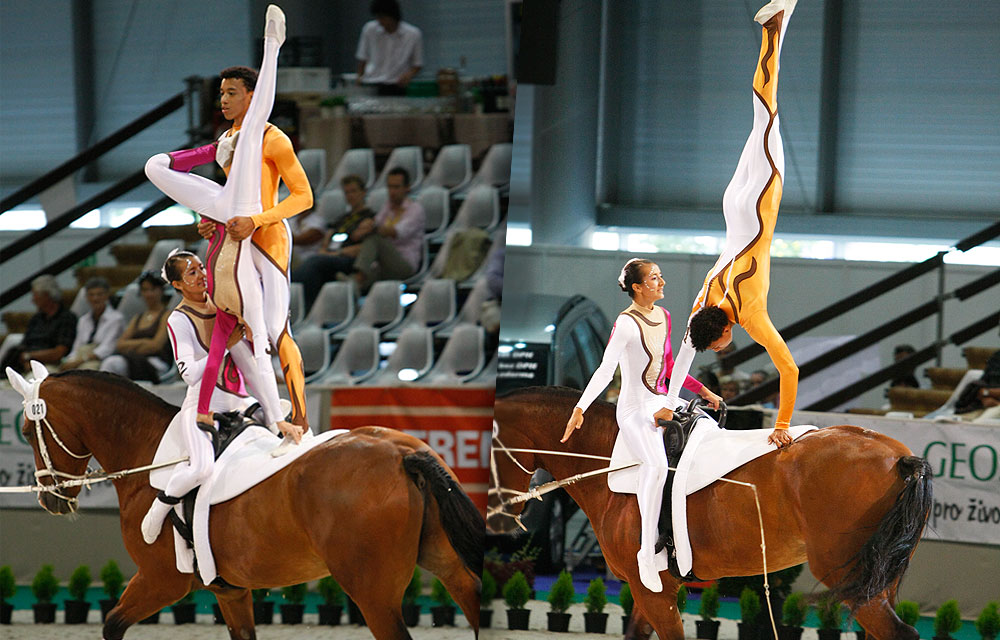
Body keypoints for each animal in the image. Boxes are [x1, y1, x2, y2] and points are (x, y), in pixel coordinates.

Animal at [8, 367, 483, 640]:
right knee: (469, 592)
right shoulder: (231, 592)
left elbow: (111, 626)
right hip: (440, 559)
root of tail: (401, 453)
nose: (49, 497)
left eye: (30, 432)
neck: (151, 451)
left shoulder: (161, 581)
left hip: (373, 593)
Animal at [489, 387, 932, 640]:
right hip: (878, 582)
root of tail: (899, 458)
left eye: (488, 449)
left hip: (849, 578)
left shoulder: (654, 593)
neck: (620, 460)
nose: (496, 521)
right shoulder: (651, 590)